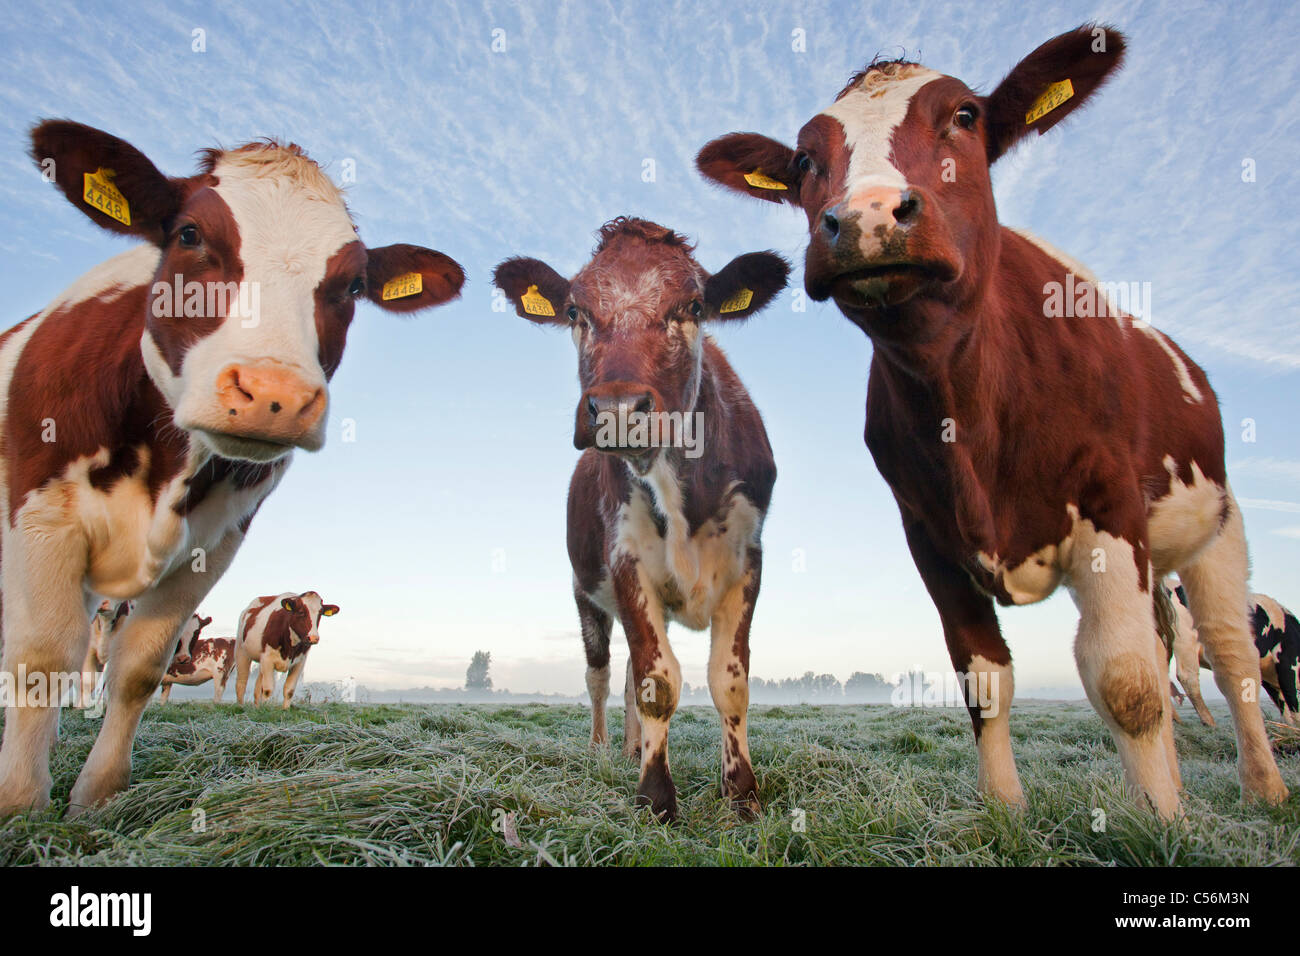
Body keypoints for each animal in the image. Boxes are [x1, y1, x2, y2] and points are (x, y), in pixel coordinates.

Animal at [0, 121, 464, 816]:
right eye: (189, 234)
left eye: (354, 284)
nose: (275, 396)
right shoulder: (41, 521)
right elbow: (42, 656)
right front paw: (23, 805)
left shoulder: (213, 549)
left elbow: (140, 668)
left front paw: (98, 795)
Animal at [493, 217, 788, 820]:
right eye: (575, 312)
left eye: (694, 306)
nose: (617, 409)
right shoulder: (624, 559)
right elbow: (657, 678)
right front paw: (655, 796)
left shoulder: (749, 560)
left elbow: (730, 680)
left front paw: (742, 792)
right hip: (585, 592)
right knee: (603, 674)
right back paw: (604, 747)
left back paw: (631, 747)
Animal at [696, 24, 1288, 819]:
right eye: (802, 159)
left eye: (965, 116)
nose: (867, 218)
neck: (963, 396)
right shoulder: (928, 534)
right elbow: (985, 677)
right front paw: (1008, 812)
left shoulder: (1110, 506)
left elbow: (1126, 680)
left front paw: (1164, 826)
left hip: (1217, 528)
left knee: (1229, 658)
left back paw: (1263, 787)